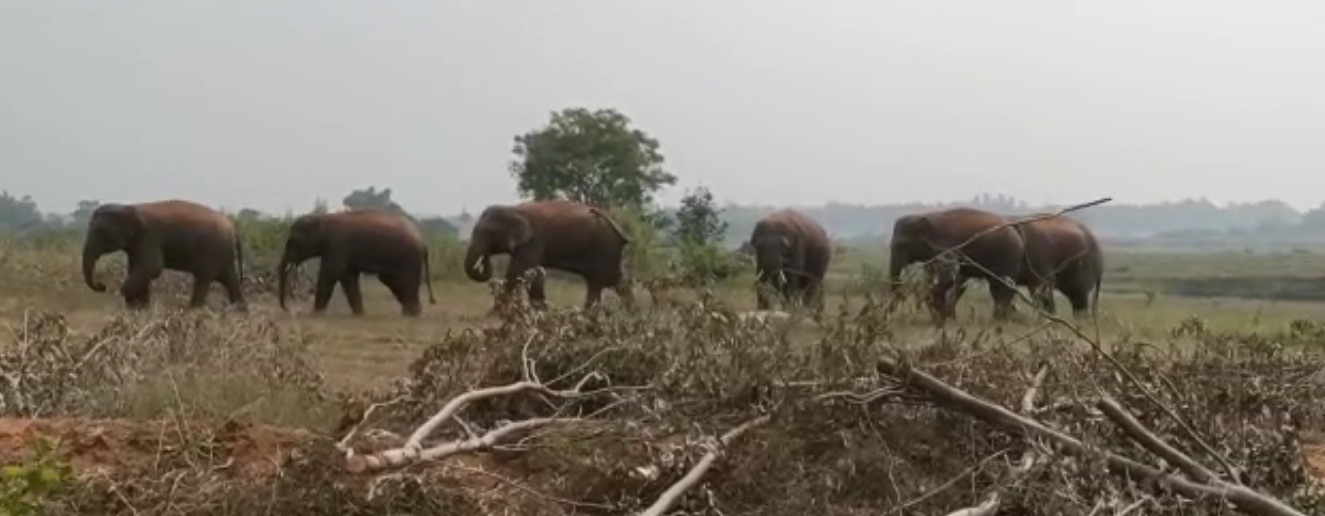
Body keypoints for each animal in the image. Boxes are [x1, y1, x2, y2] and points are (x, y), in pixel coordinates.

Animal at [81, 199, 246, 310]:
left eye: (100, 232)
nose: (102, 286)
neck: (129, 207)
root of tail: (234, 227)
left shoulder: (149, 237)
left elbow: (152, 267)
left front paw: (127, 296)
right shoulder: (137, 244)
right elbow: (141, 270)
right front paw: (140, 310)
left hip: (214, 251)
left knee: (204, 279)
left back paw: (191, 313)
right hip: (223, 254)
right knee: (230, 280)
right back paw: (241, 313)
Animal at [277, 208, 436, 317]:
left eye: (291, 241)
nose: (287, 309)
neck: (323, 218)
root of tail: (424, 241)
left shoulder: (337, 246)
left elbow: (330, 274)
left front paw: (314, 315)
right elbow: (348, 278)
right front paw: (359, 314)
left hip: (408, 258)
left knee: (405, 281)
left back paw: (411, 313)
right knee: (393, 281)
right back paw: (412, 312)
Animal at [464, 199, 635, 311]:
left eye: (485, 233)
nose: (484, 258)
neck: (513, 209)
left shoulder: (533, 241)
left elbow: (518, 271)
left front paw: (497, 312)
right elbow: (534, 273)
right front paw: (542, 310)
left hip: (604, 250)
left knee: (600, 282)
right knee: (615, 281)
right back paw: (630, 313)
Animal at [887, 207, 1026, 322]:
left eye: (902, 244)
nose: (891, 312)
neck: (926, 216)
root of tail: (1016, 231)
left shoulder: (947, 247)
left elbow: (949, 277)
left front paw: (941, 315)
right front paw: (939, 314)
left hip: (1009, 257)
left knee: (1005, 286)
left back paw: (999, 319)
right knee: (995, 286)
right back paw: (997, 318)